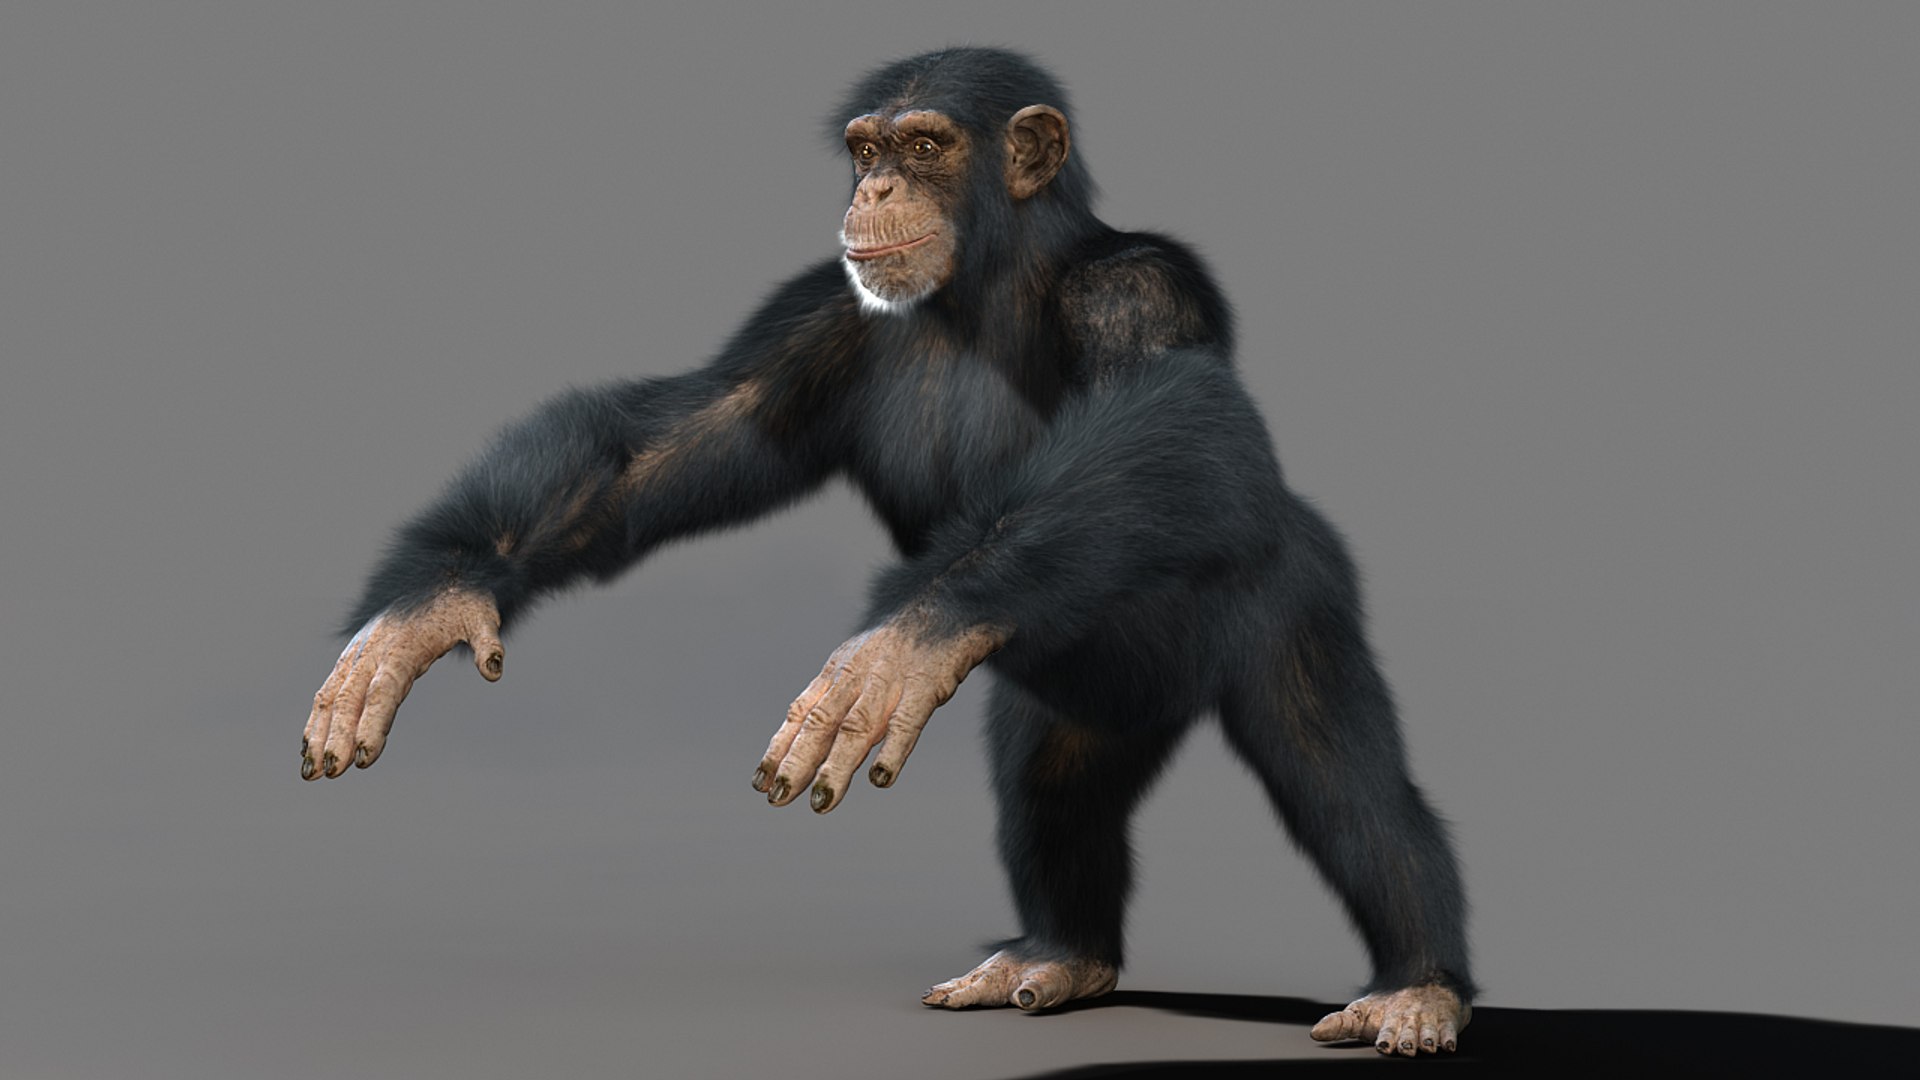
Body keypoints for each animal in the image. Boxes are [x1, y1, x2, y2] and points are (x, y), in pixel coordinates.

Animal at [300, 47, 1473, 1057]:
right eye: (865, 149)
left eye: (925, 145)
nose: (872, 191)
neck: (986, 289)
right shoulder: (812, 327)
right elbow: (665, 445)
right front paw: (425, 610)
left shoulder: (1143, 289)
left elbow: (1184, 415)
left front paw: (895, 647)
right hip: (1077, 704)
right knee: (1049, 787)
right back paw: (1059, 953)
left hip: (1289, 599)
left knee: (1343, 777)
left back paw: (1417, 982)